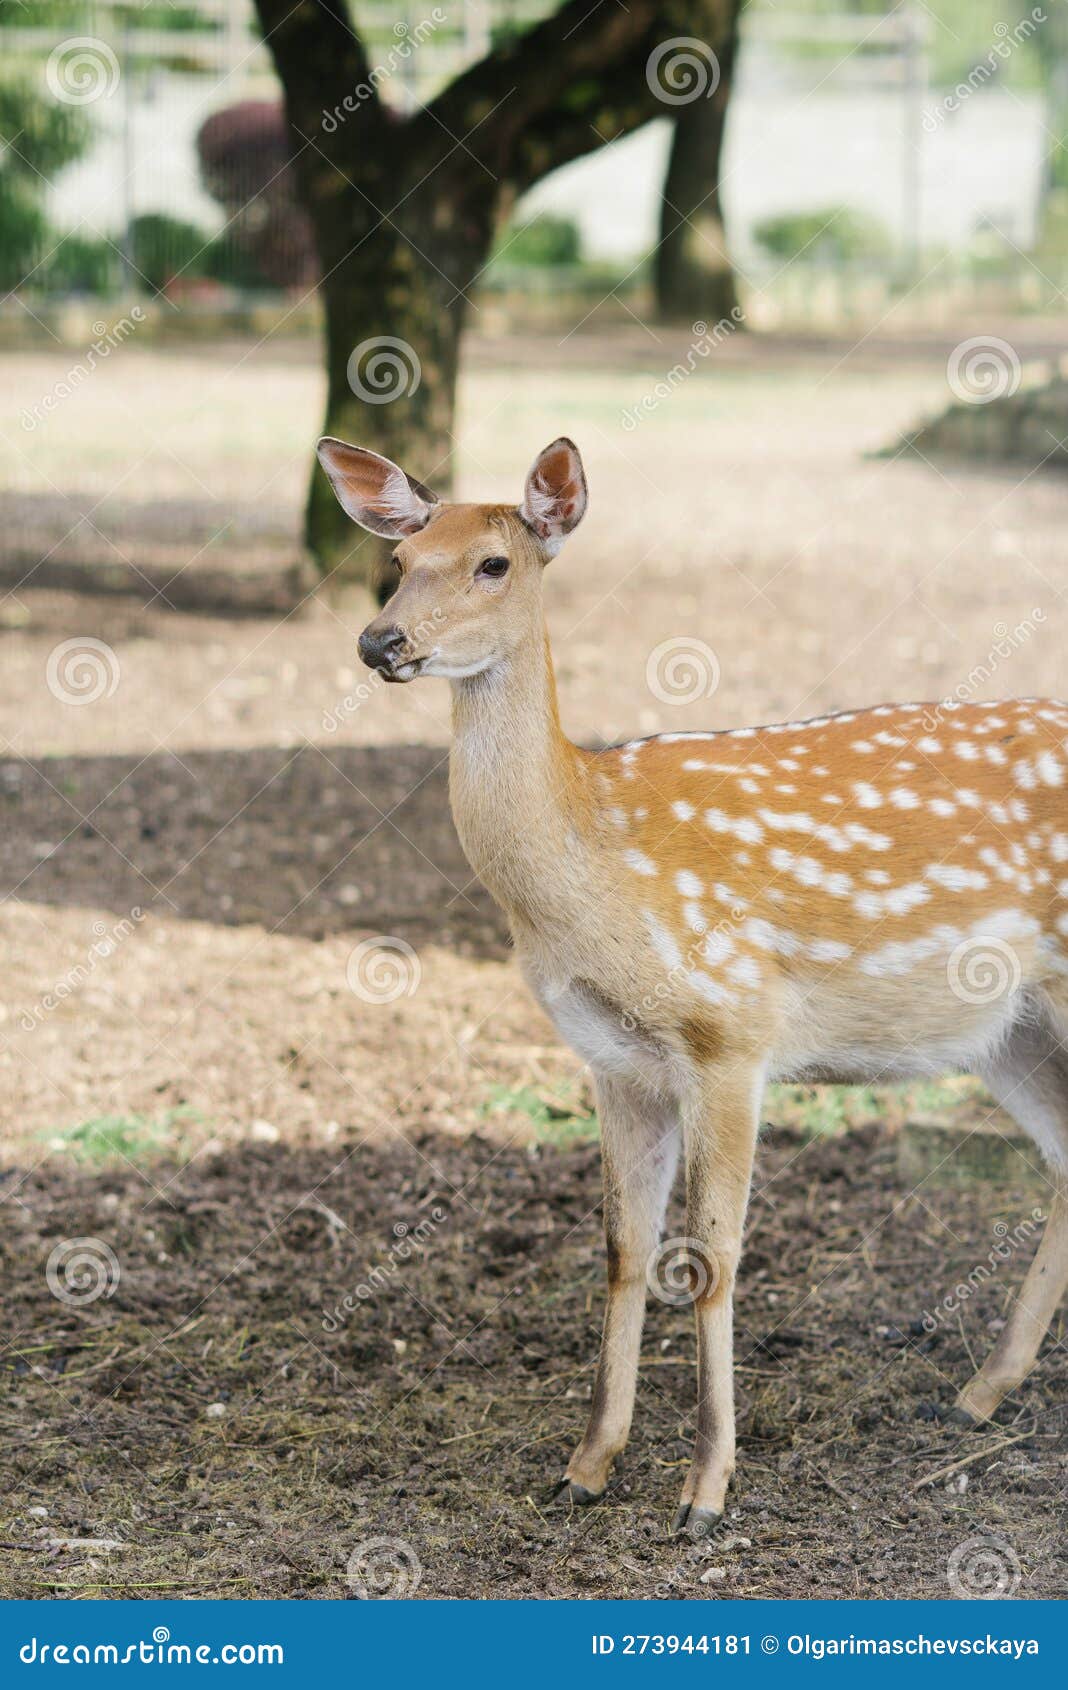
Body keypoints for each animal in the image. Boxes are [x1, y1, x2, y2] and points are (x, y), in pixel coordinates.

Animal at [317, 433, 1068, 1538]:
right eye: (401, 560)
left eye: (493, 563)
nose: (380, 641)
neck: (589, 868)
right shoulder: (614, 1060)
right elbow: (625, 1249)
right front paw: (587, 1464)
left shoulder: (731, 1032)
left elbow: (712, 1259)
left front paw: (705, 1490)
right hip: (1008, 1028)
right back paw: (980, 1390)